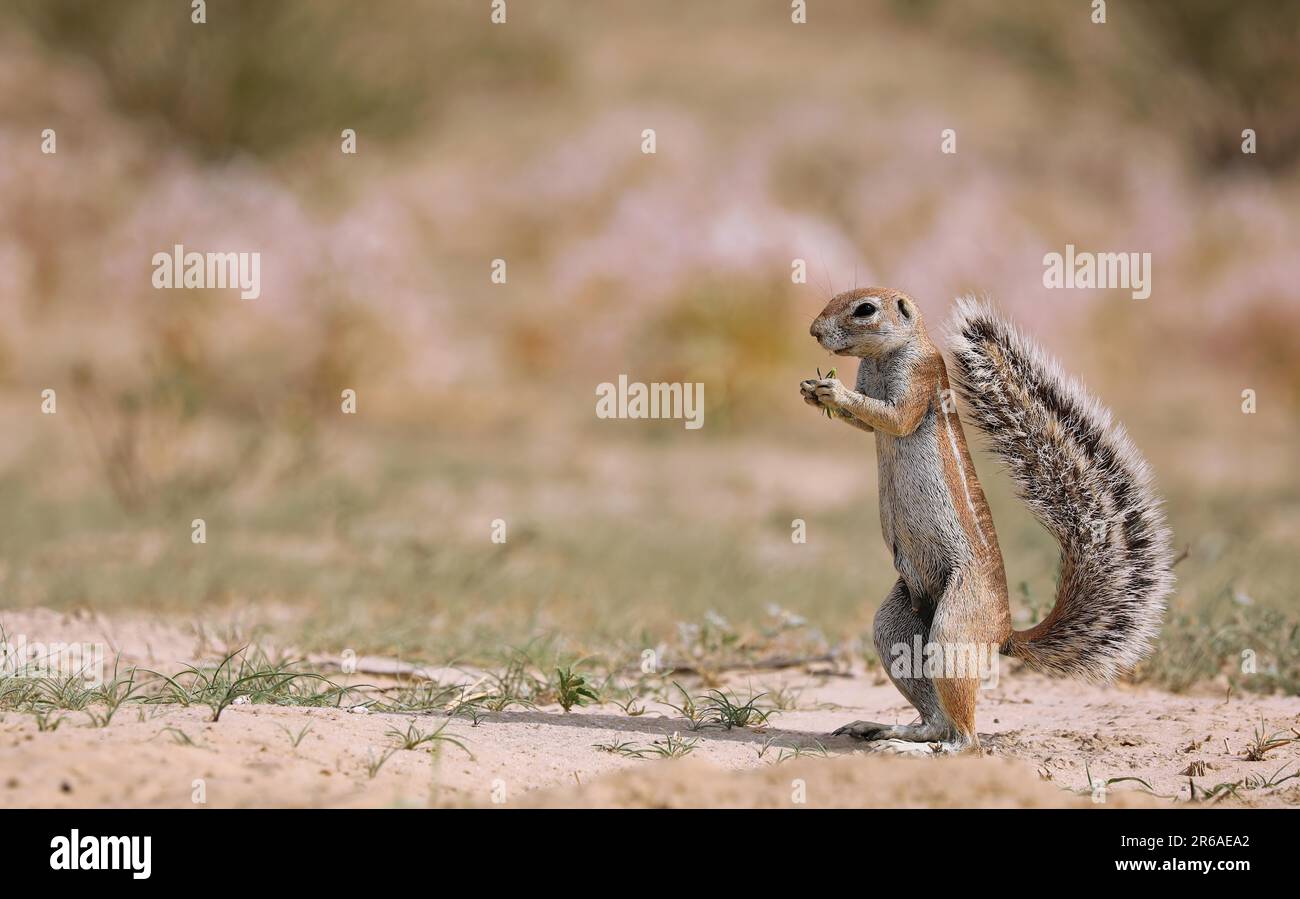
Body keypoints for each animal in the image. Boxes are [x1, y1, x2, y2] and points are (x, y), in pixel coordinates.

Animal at [800, 288, 1174, 753]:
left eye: (865, 309)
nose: (814, 331)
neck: (885, 356)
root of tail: (1002, 633)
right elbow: (867, 425)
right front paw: (812, 392)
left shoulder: (918, 378)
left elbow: (894, 417)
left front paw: (831, 391)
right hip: (896, 628)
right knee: (936, 720)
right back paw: (890, 731)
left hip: (955, 626)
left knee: (967, 740)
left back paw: (917, 749)